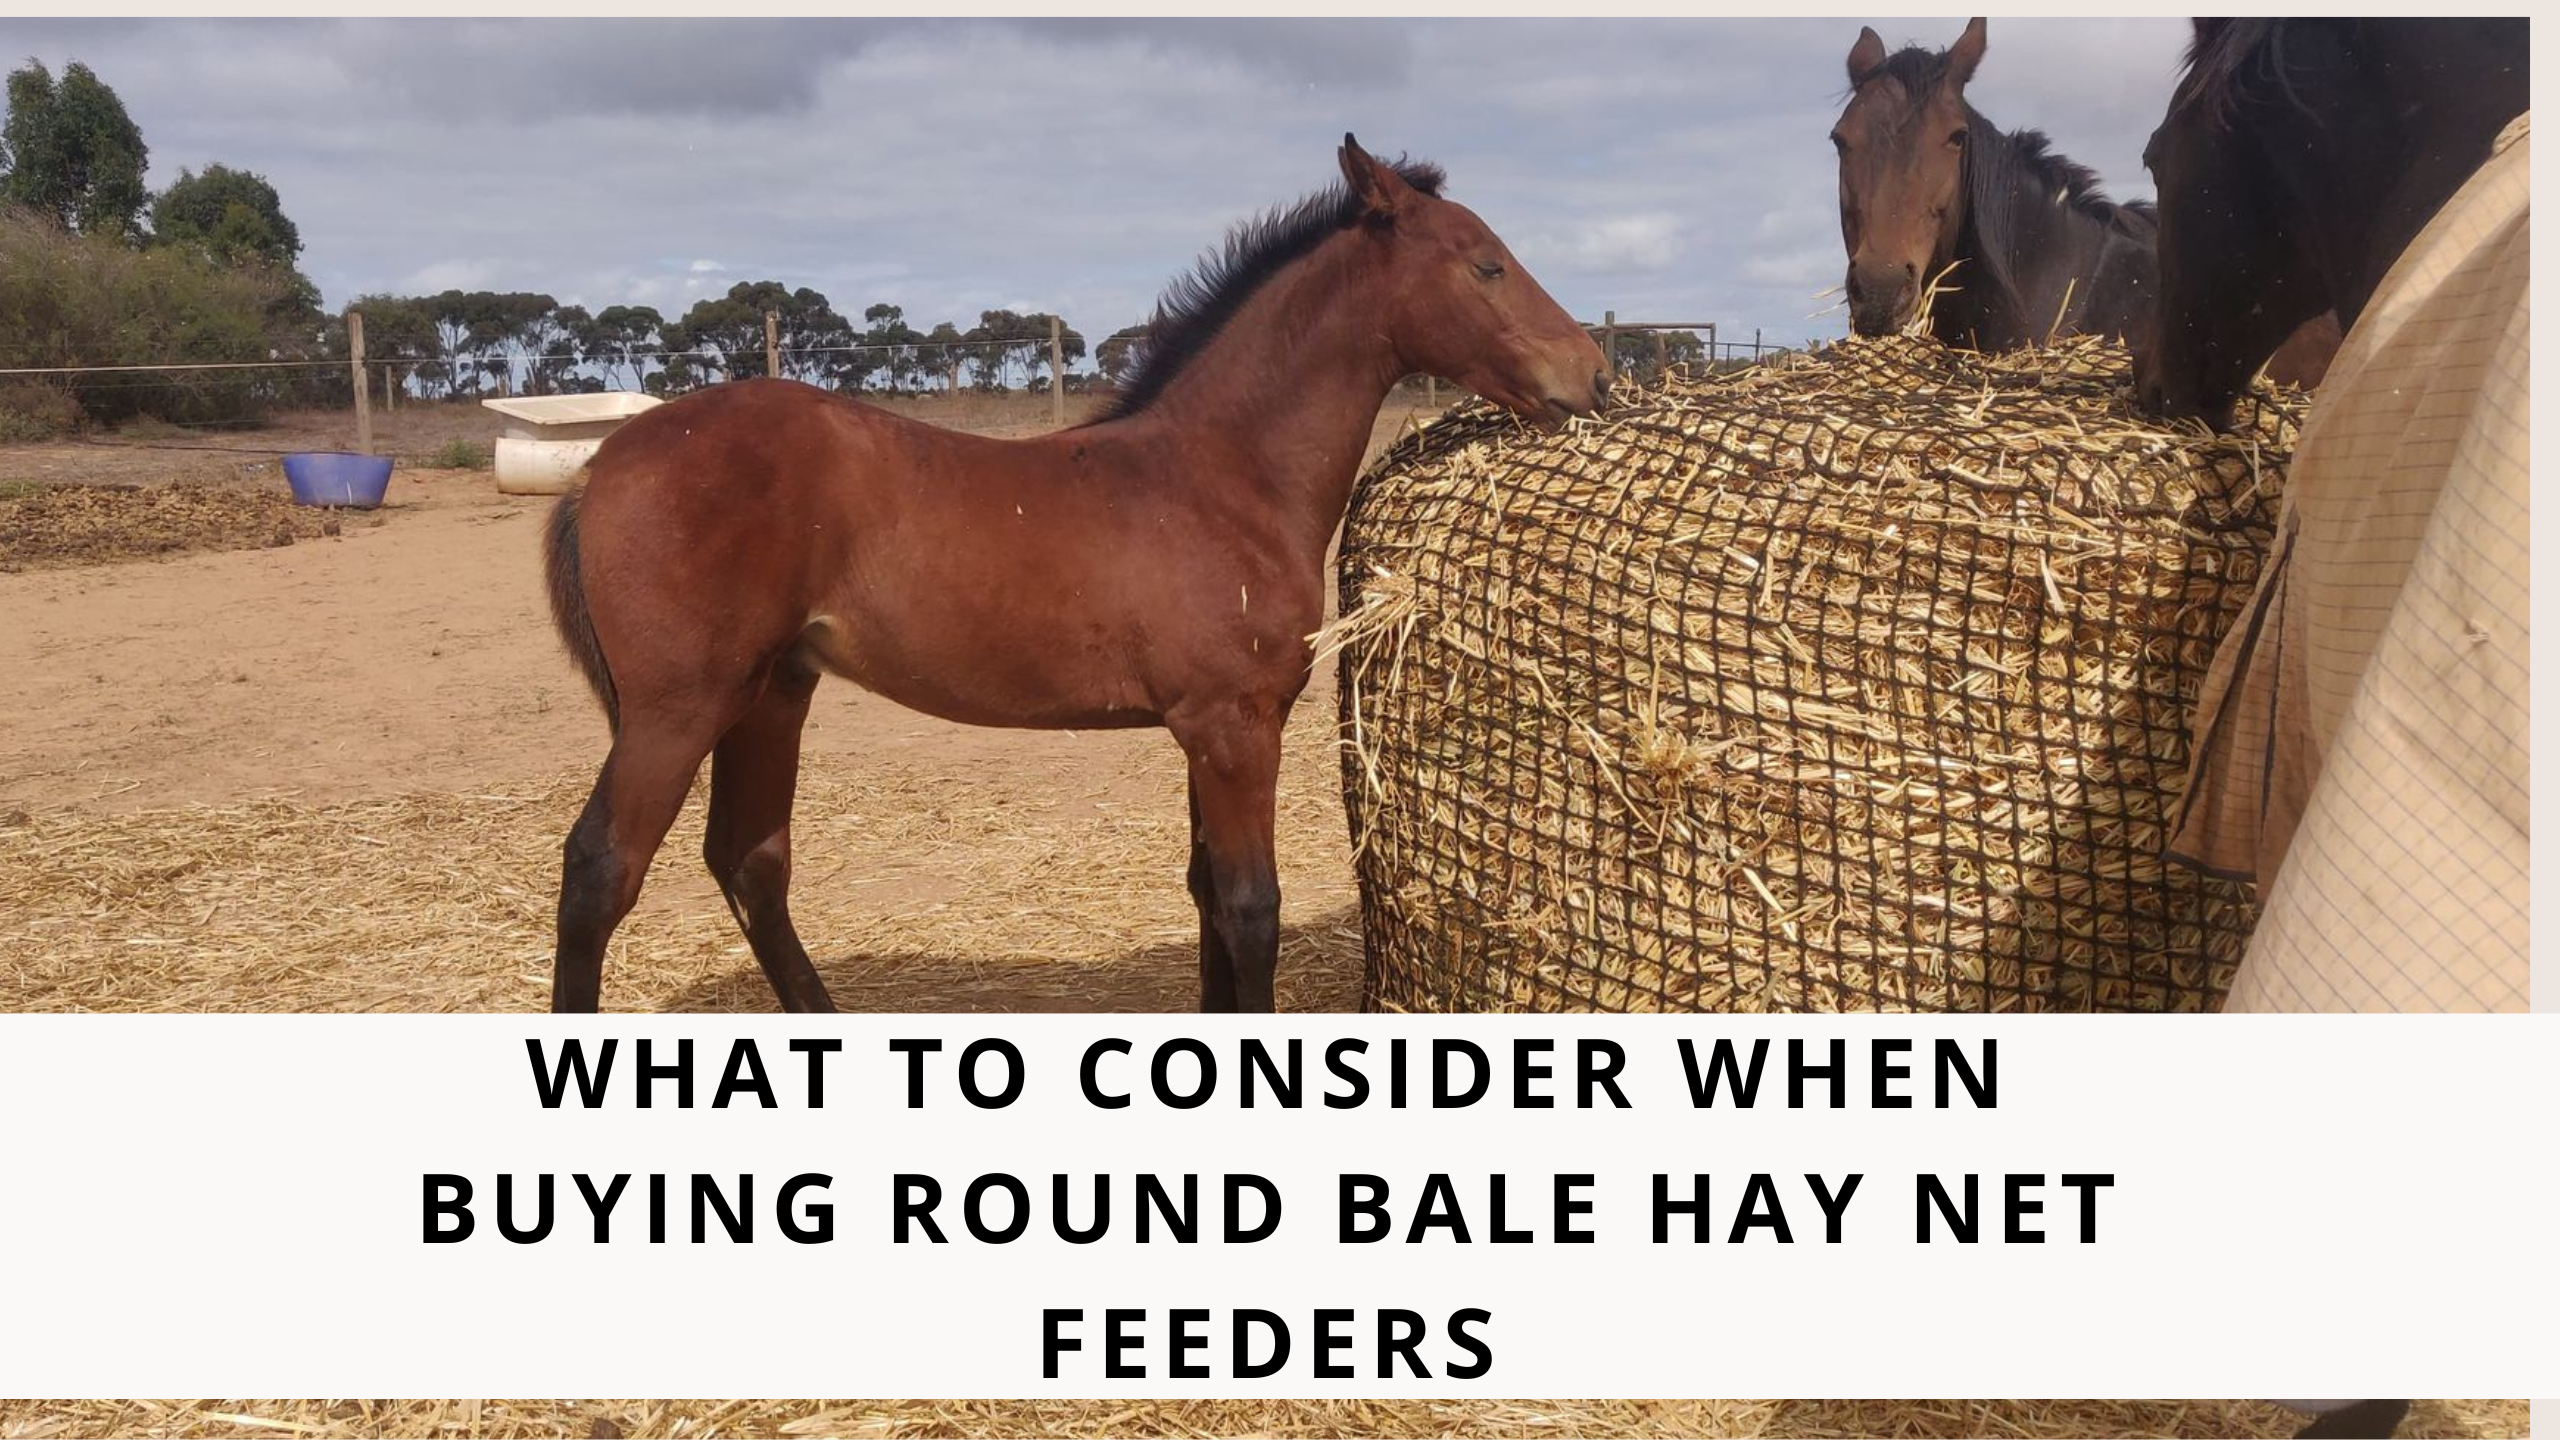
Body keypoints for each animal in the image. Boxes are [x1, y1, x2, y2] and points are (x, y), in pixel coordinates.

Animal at [539, 135, 1609, 1013]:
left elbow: (1208, 896)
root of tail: (600, 464)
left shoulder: (1204, 729)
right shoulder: (1235, 726)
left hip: (772, 691)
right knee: (601, 870)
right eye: (1485, 263)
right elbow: (1251, 909)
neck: (1219, 475)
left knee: (750, 860)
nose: (1593, 377)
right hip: (681, 705)